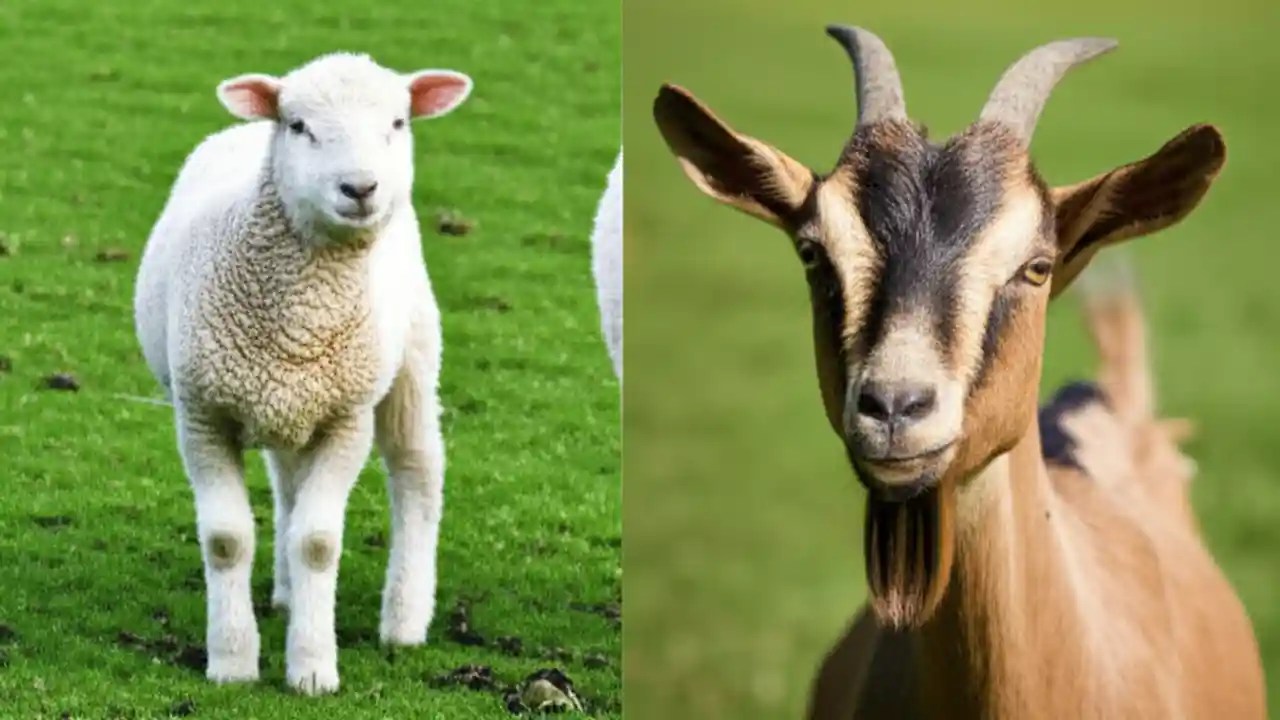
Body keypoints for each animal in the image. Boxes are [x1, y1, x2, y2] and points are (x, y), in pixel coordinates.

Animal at [132, 52, 472, 695]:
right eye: (298, 126)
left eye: (398, 123)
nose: (360, 188)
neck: (302, 319)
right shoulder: (203, 414)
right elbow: (227, 540)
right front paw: (233, 661)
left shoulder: (347, 418)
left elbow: (317, 543)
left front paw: (313, 668)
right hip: (289, 407)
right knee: (289, 486)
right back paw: (289, 598)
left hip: (411, 361)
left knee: (417, 472)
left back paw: (405, 621)